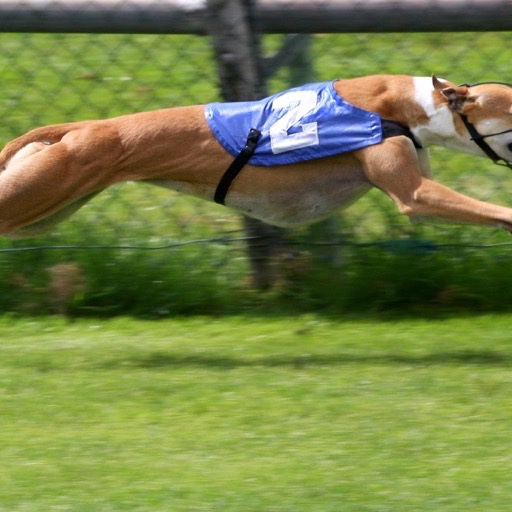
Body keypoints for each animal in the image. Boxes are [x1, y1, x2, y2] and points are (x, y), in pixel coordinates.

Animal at [1, 74, 512, 238]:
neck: (409, 104)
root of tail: (78, 129)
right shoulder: (414, 193)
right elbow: (493, 210)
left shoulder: (417, 190)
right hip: (35, 193)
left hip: (43, 213)